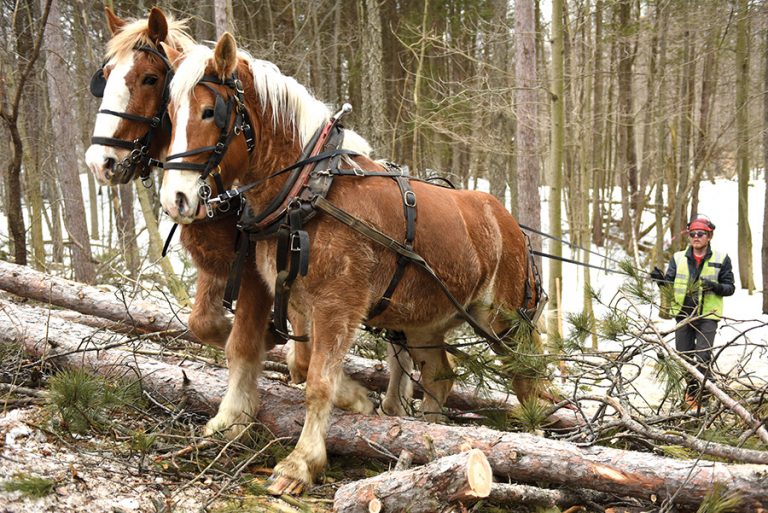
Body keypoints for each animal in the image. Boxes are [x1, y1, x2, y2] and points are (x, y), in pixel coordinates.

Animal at [159, 32, 551, 495]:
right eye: (169, 114)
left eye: (209, 112)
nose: (175, 199)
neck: (310, 189)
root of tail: (509, 223)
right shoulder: (283, 292)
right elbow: (274, 356)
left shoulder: (338, 305)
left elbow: (317, 381)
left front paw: (301, 463)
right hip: (424, 322)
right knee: (440, 375)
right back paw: (434, 439)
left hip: (504, 322)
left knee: (527, 379)